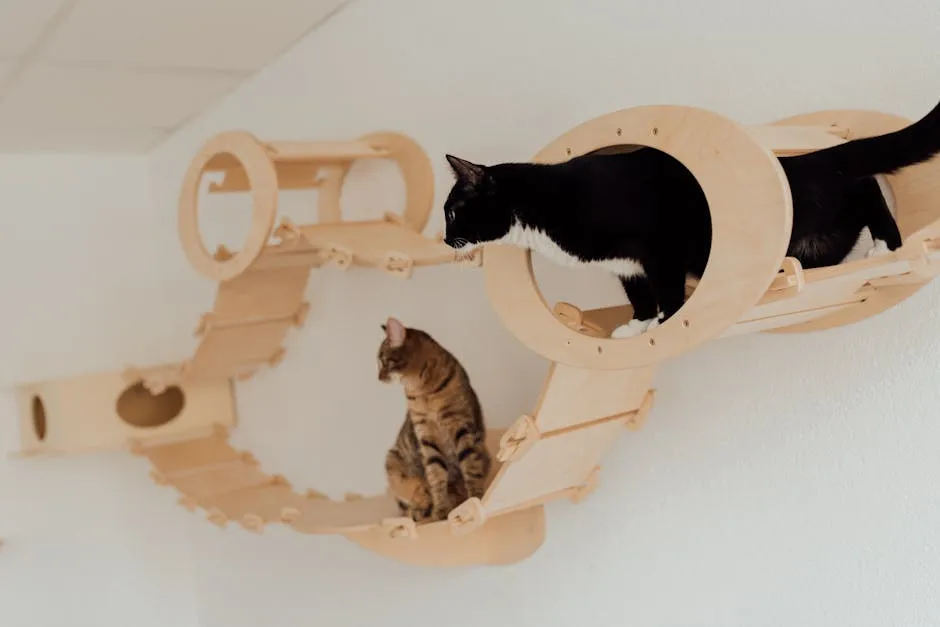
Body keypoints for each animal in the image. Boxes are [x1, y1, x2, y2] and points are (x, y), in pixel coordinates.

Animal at [378, 316, 492, 524]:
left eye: (383, 361)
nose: (378, 377)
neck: (422, 390)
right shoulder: (426, 434)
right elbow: (435, 474)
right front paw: (440, 509)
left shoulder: (461, 425)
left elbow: (470, 466)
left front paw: (474, 498)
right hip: (393, 462)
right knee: (411, 495)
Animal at [440, 96, 940, 338]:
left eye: (451, 211)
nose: (444, 240)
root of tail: (808, 158)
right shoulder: (626, 265)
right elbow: (639, 292)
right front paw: (638, 325)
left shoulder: (658, 246)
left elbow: (666, 289)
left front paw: (665, 324)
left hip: (819, 200)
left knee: (867, 186)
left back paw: (887, 243)